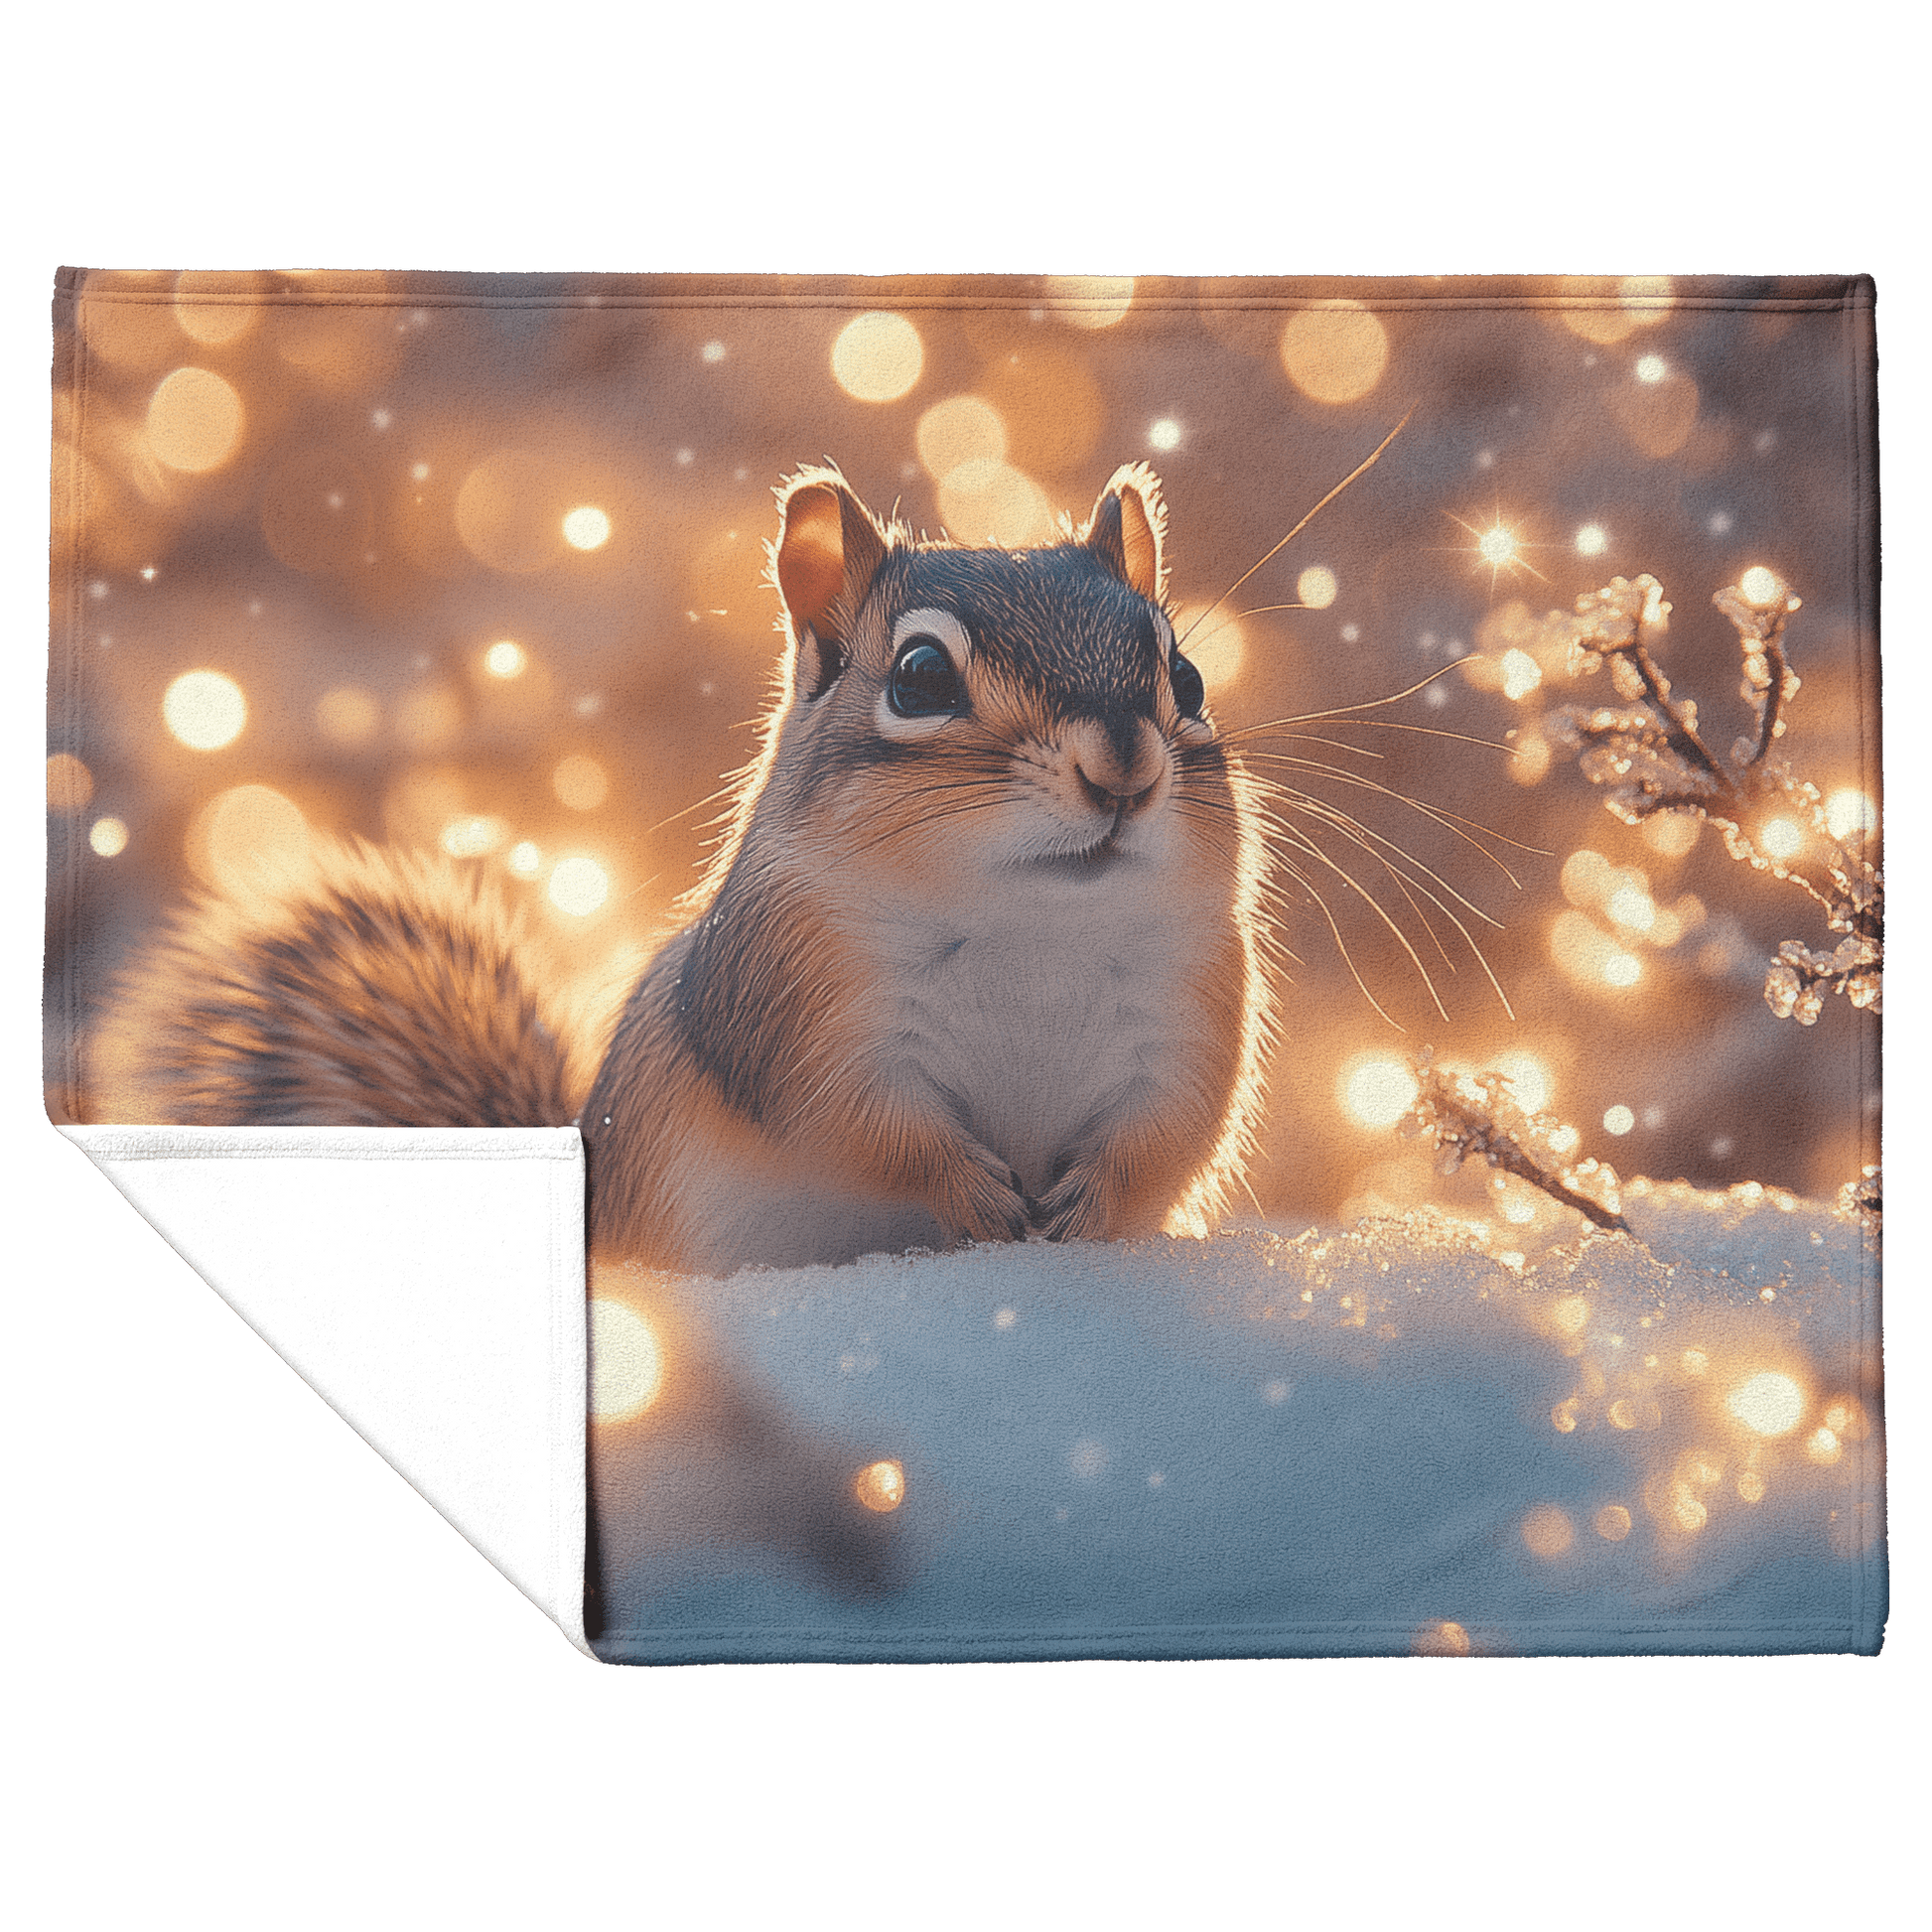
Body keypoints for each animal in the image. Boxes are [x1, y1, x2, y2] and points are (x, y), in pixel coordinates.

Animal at [104, 464, 1273, 1278]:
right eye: (920, 676)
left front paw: (1085, 1208)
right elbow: (866, 1131)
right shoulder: (795, 1012)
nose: (1123, 767)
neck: (1037, 928)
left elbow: (1169, 1132)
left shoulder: (1190, 1021)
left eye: (1184, 675)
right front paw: (978, 1197)